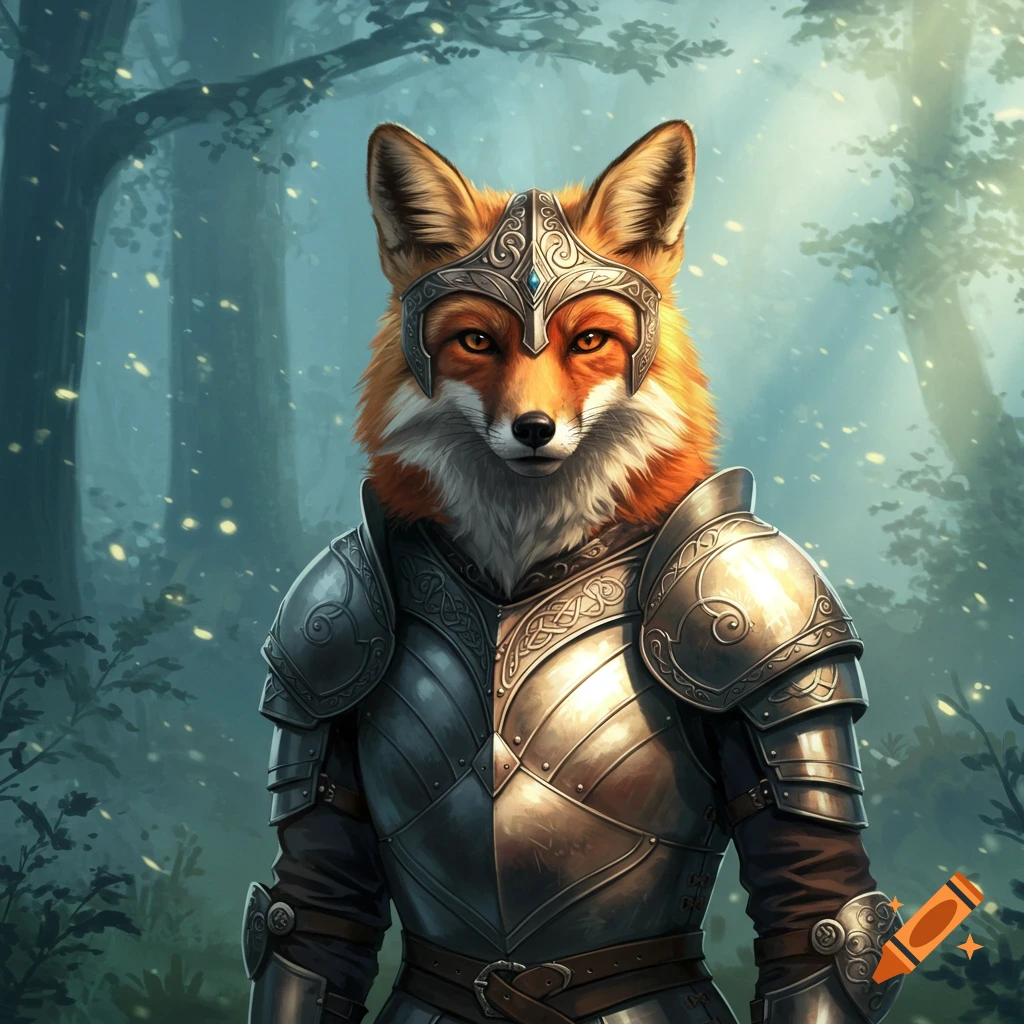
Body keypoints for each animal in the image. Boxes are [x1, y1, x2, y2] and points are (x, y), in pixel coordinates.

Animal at [242, 122, 903, 1024]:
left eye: (589, 340)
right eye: (475, 341)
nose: (533, 429)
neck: (519, 559)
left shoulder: (768, 645)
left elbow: (819, 926)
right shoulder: (319, 658)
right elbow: (303, 918)